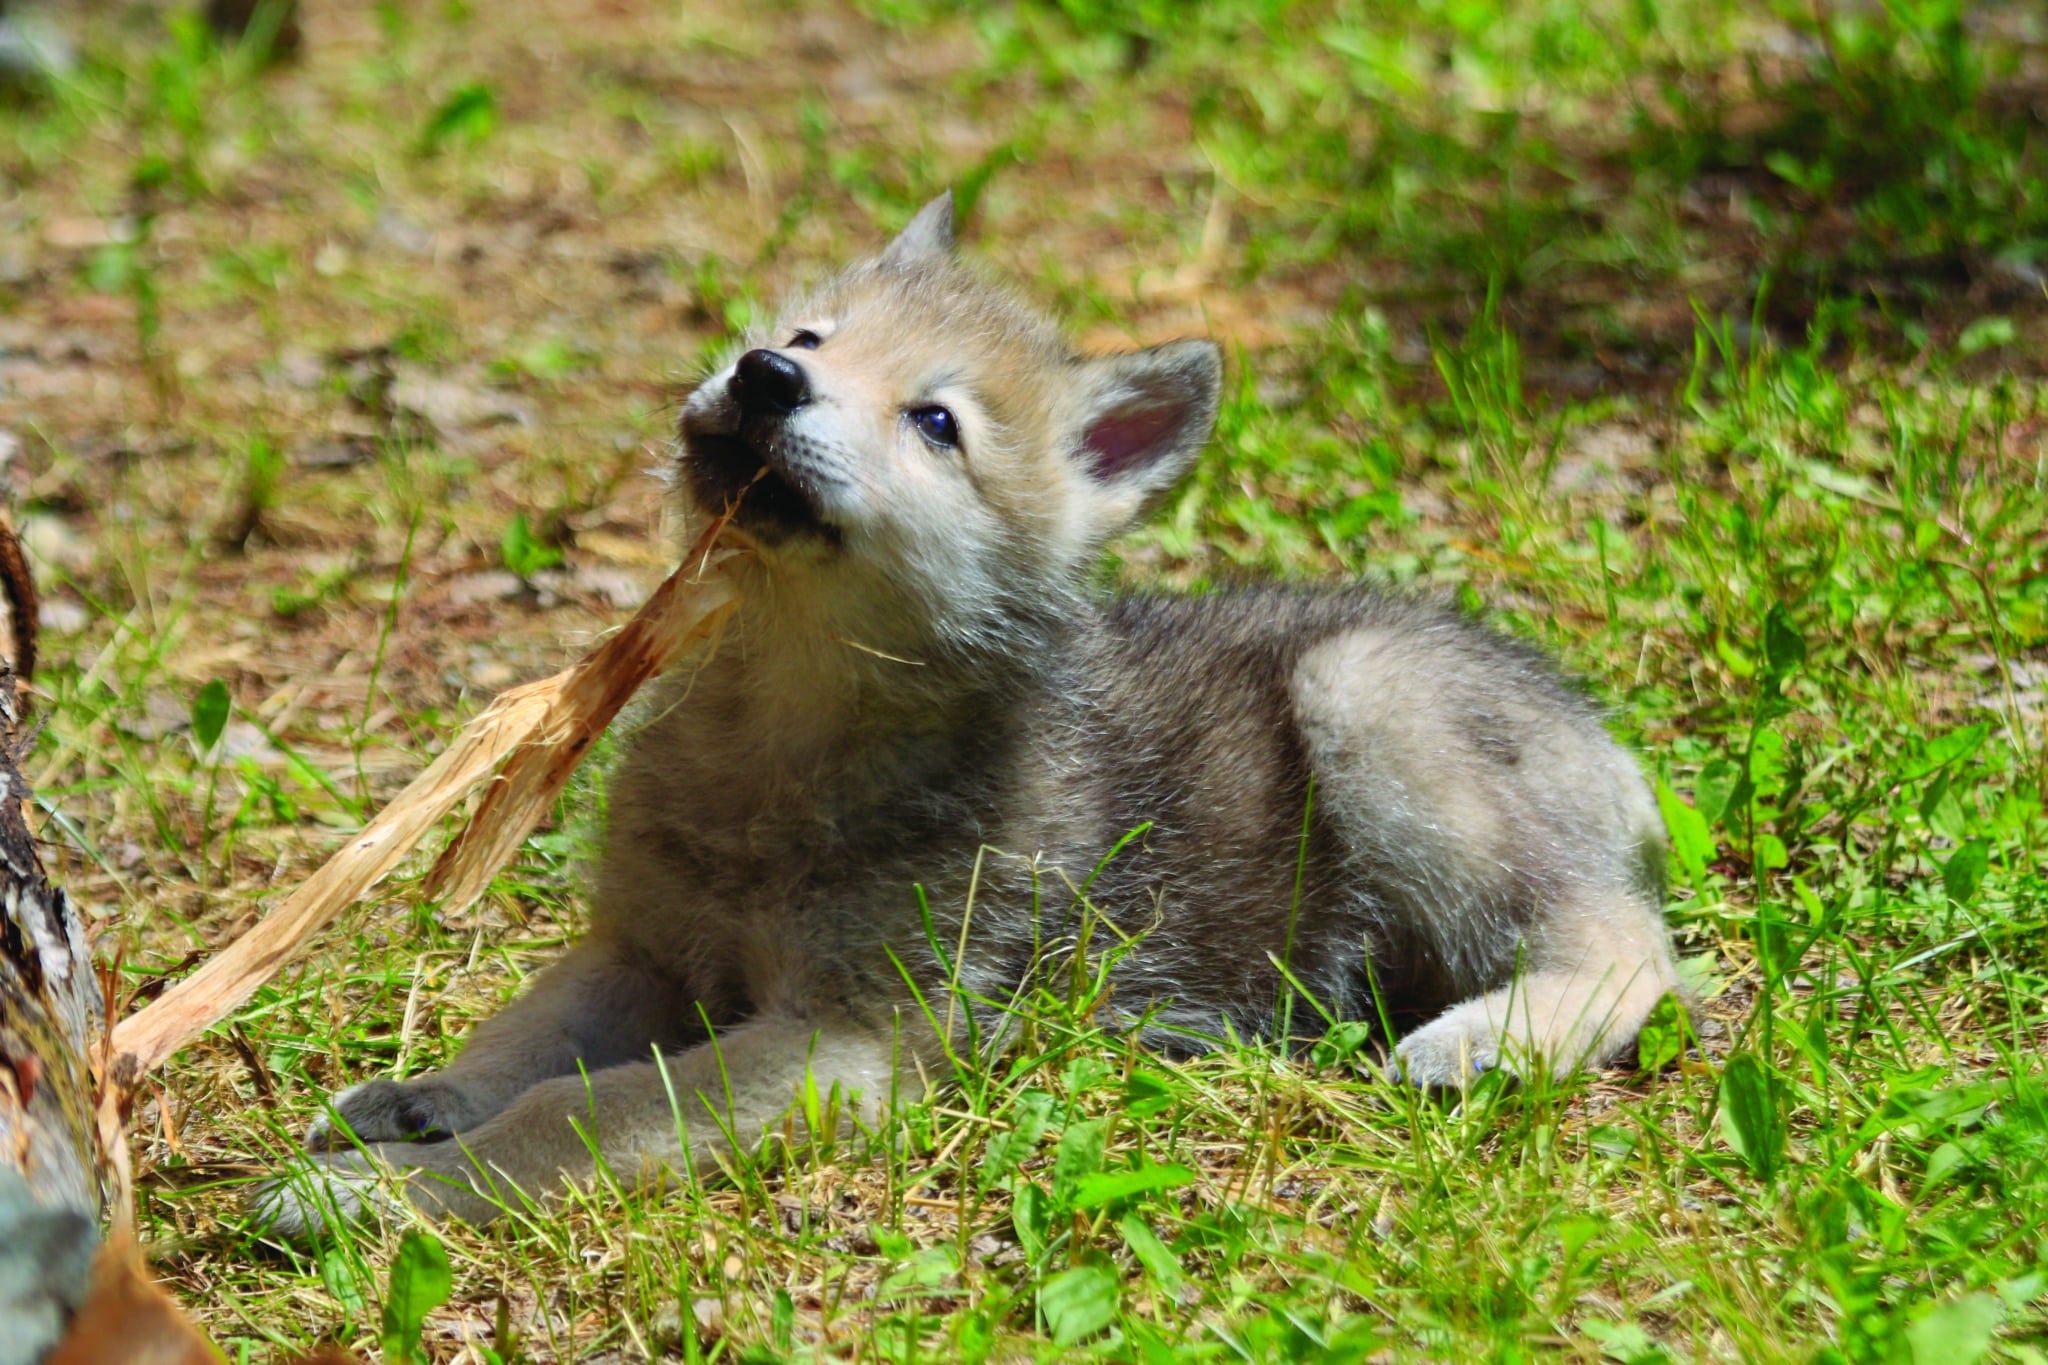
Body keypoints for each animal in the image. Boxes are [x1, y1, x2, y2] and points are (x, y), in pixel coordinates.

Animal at [257, 194, 1680, 1235]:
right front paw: (419, 1102)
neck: (780, 729)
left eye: (935, 422)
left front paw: (387, 1195)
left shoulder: (840, 1041)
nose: (763, 375)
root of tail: (1606, 745)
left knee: (1629, 945)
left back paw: (1483, 1043)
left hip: (1369, 700)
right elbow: (525, 1039)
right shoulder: (638, 951)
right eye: (812, 339)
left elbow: (573, 1116)